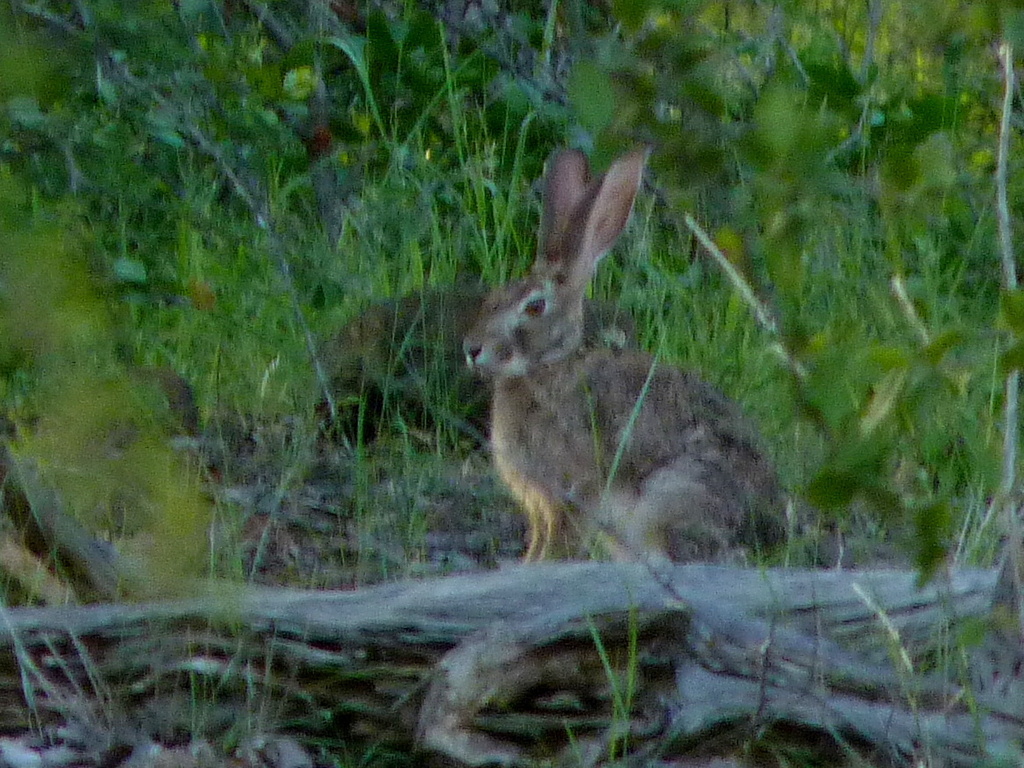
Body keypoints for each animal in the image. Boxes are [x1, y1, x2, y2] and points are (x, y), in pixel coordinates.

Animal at [463, 148, 784, 562]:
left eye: (535, 307)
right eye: (492, 298)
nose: (472, 349)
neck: (548, 366)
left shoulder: (572, 492)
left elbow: (558, 541)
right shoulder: (542, 504)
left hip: (670, 497)